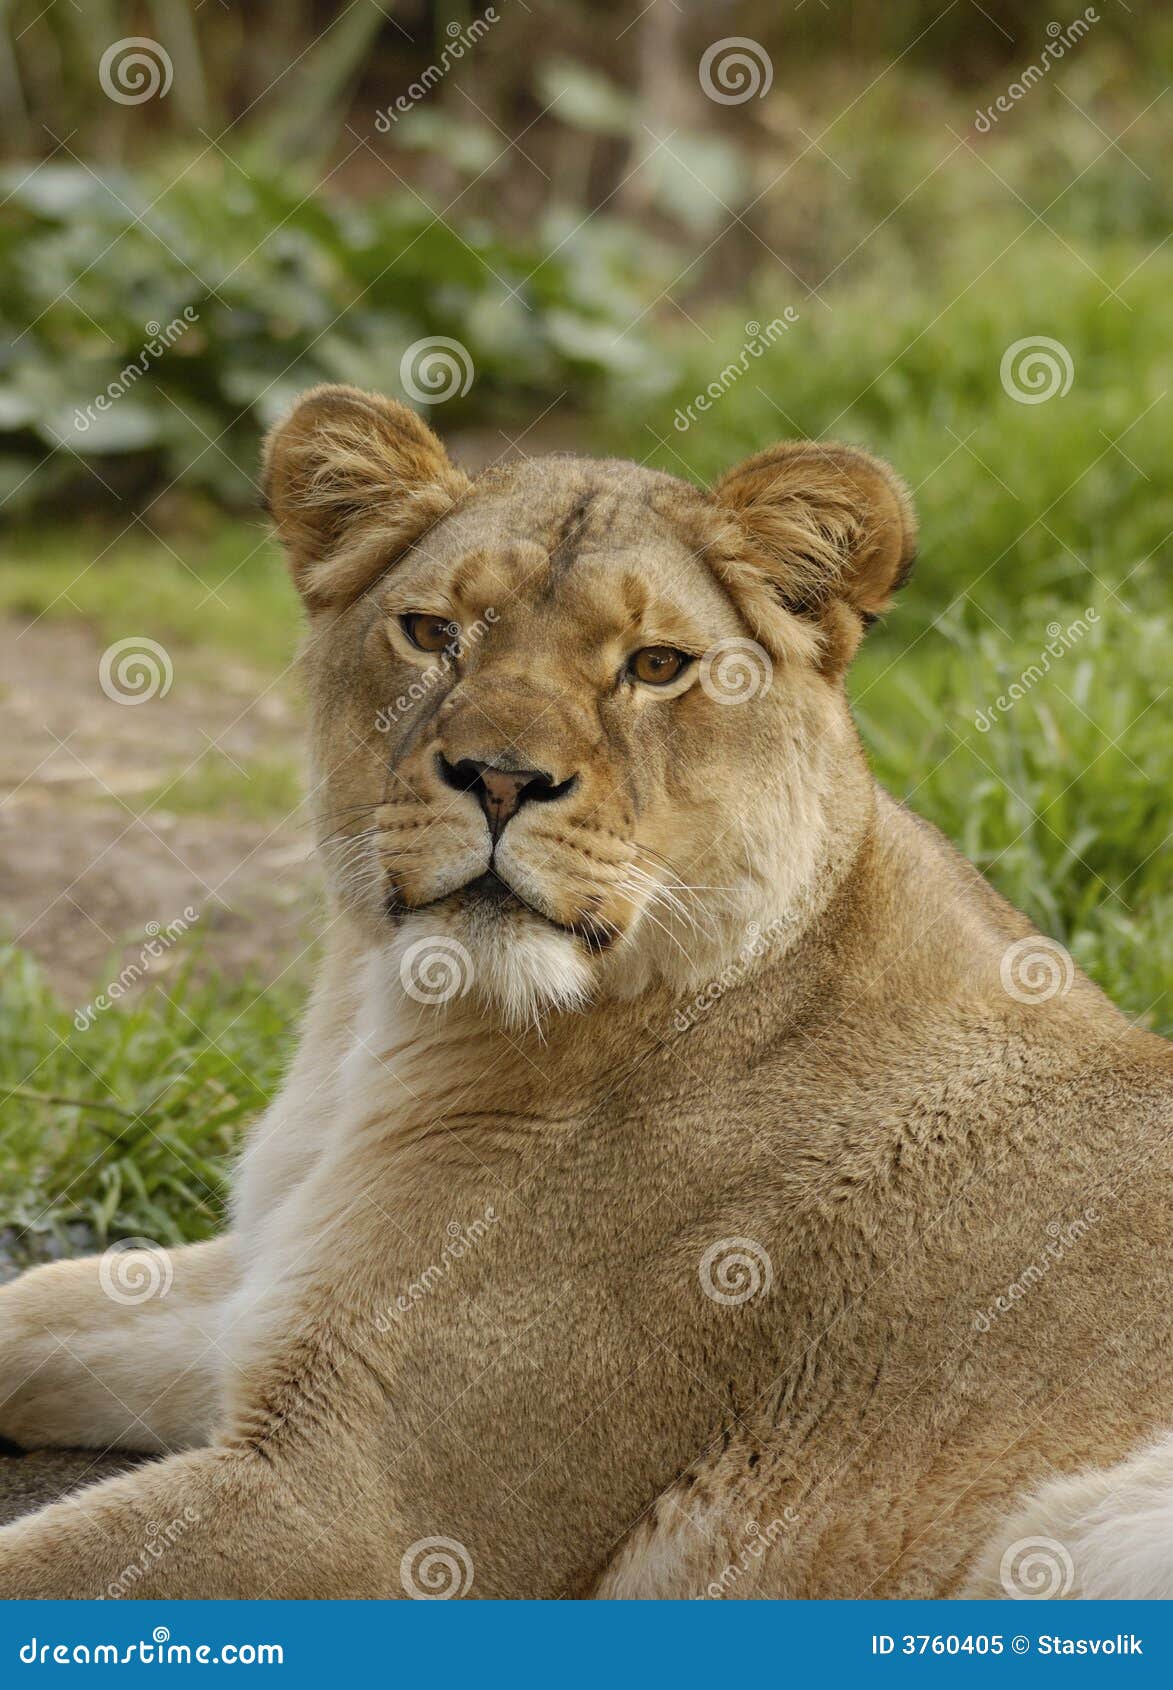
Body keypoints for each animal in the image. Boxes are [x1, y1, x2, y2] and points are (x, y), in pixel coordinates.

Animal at [0, 385, 1170, 1600]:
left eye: (655, 666)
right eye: (434, 633)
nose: (500, 777)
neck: (382, 1031)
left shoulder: (360, 1513)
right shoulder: (268, 1294)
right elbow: (35, 1303)